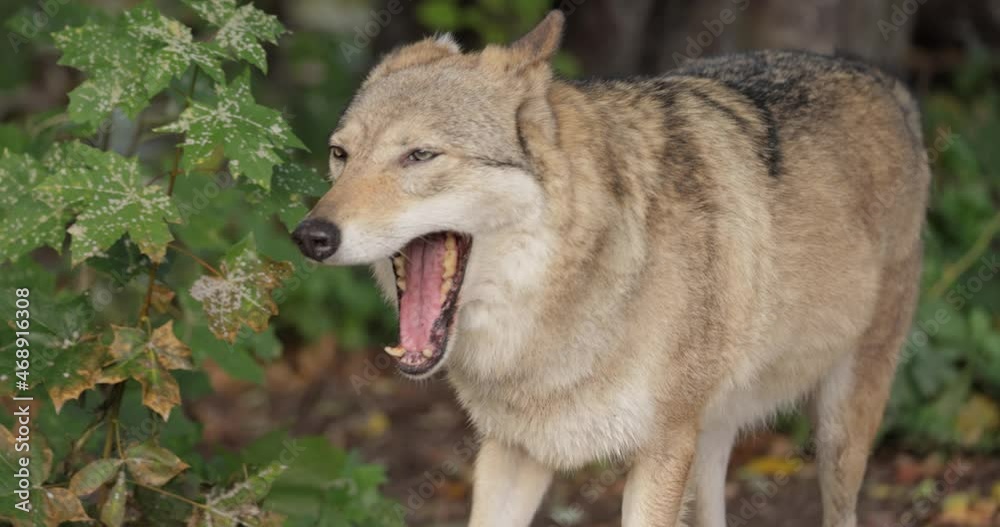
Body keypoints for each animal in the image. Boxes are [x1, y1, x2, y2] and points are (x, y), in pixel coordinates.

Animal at [292, 10, 930, 527]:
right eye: (340, 155)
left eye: (420, 155)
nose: (311, 236)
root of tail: (885, 79)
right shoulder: (512, 451)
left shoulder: (661, 453)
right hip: (711, 436)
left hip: (838, 431)